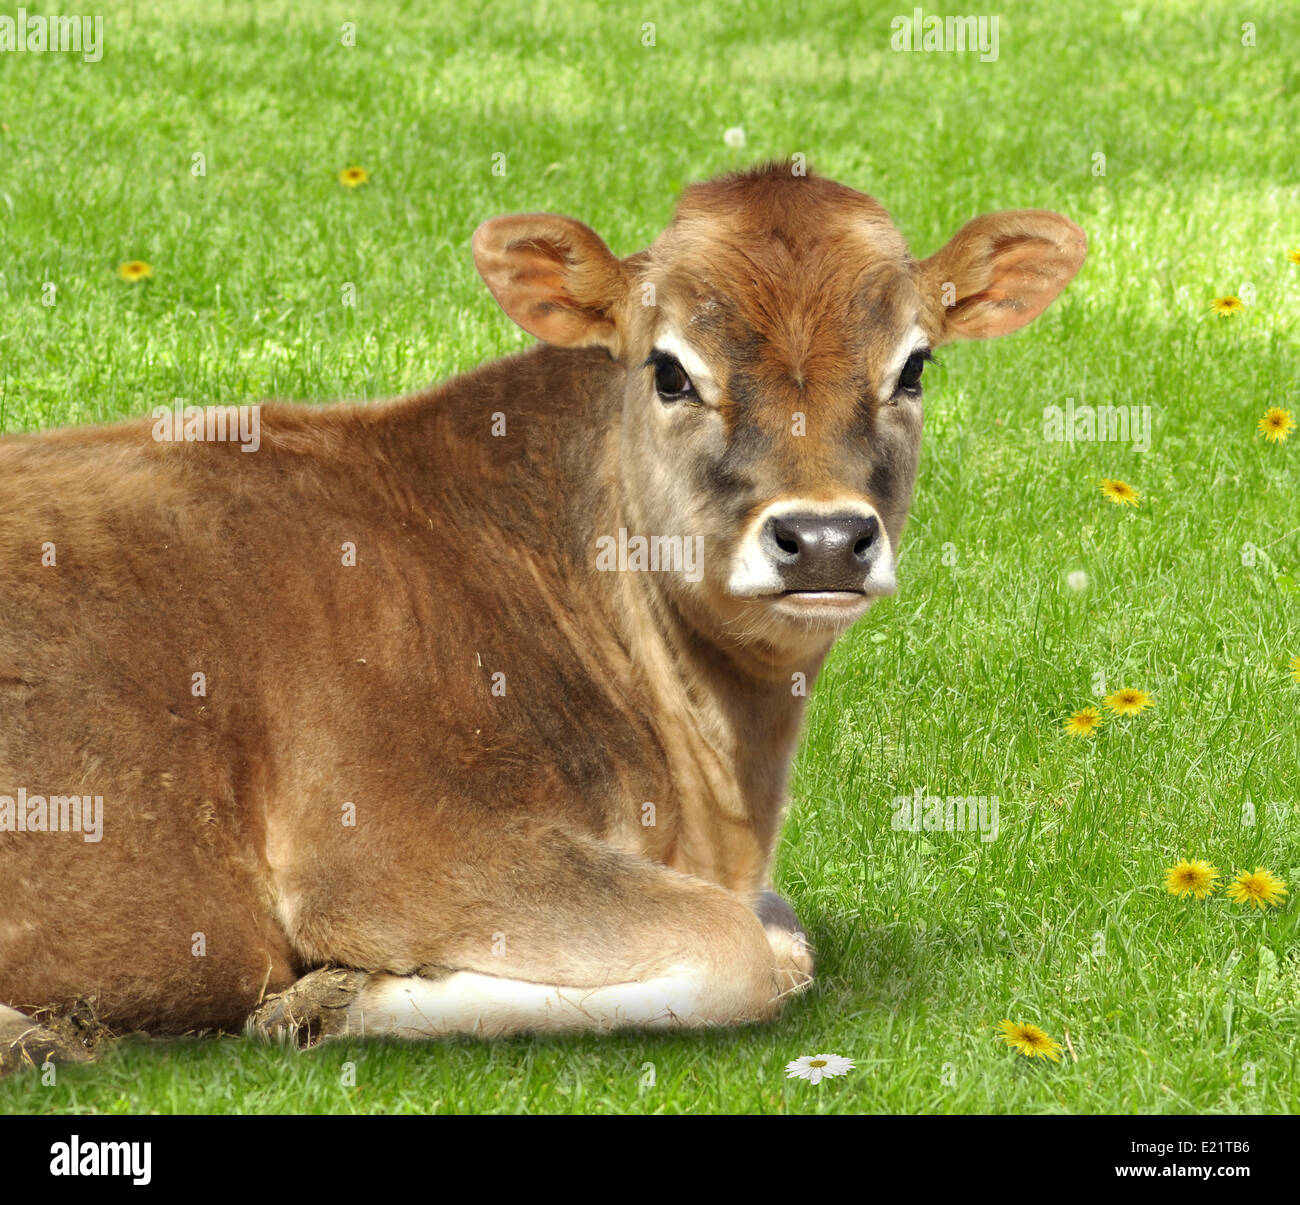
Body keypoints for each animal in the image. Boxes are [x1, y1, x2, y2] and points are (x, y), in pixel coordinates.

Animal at [0, 163, 1084, 1053]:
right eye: (668, 369)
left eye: (913, 364)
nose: (822, 537)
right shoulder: (391, 842)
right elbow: (738, 948)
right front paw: (329, 999)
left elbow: (780, 932)